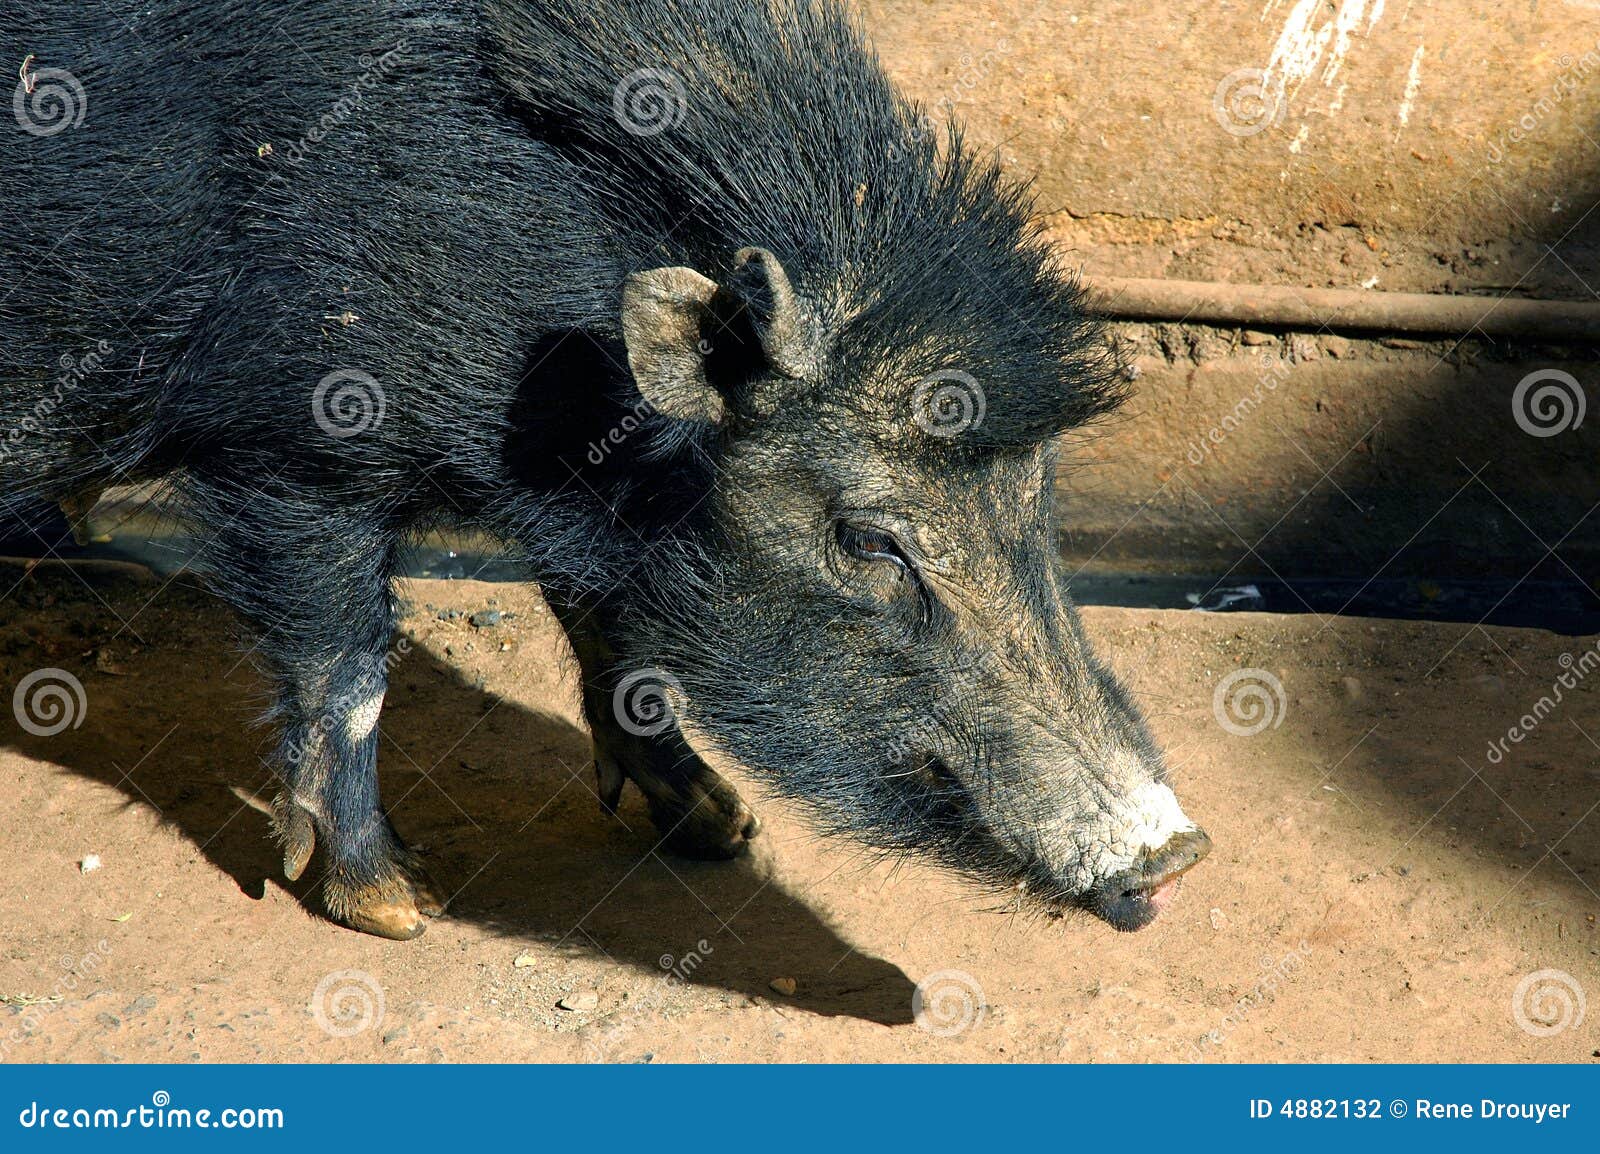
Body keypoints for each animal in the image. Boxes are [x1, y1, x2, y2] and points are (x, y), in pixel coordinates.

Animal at [1, 0, 1210, 939]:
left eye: (1039, 501)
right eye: (868, 538)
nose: (1175, 854)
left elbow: (606, 620)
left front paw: (725, 828)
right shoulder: (288, 453)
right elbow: (347, 665)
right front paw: (399, 910)